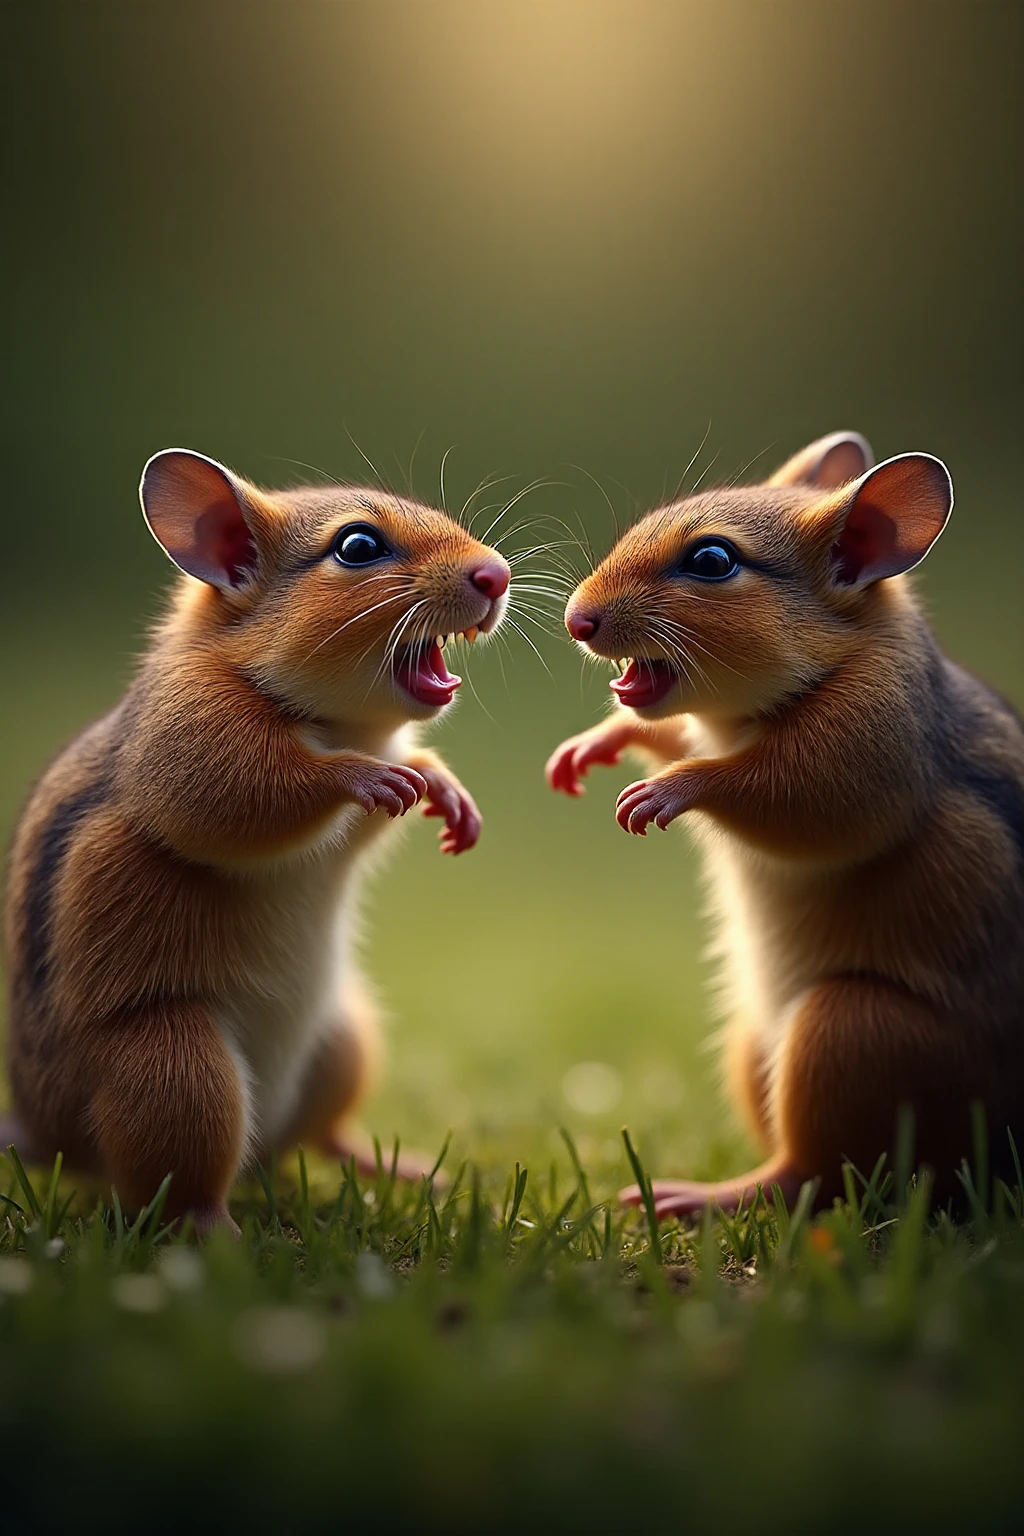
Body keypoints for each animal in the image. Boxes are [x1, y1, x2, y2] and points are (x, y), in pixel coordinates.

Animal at [3, 449, 510, 1234]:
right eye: (357, 546)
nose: (496, 574)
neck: (340, 721)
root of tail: (45, 1135)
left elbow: (402, 774)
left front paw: (442, 788)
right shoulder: (193, 733)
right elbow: (243, 797)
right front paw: (363, 776)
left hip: (346, 1038)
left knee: (322, 1137)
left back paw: (405, 1170)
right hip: (175, 1069)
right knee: (178, 1186)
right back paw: (217, 1229)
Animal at [547, 431, 1024, 1217]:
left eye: (712, 561)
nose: (576, 619)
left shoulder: (869, 739)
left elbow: (799, 801)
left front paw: (669, 790)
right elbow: (672, 735)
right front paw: (597, 744)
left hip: (847, 1032)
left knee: (819, 1176)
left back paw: (704, 1196)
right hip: (751, 1035)